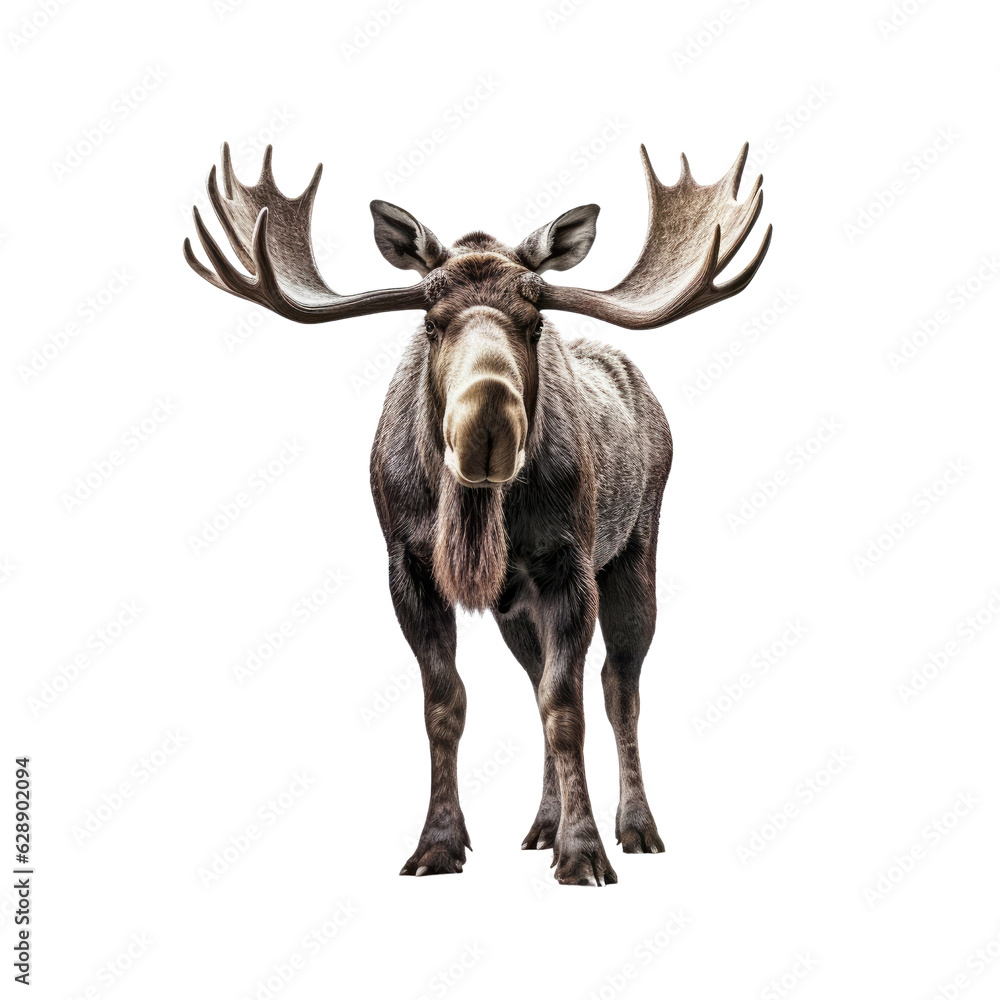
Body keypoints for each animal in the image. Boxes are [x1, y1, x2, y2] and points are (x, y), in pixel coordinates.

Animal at [184, 141, 771, 885]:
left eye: (535, 321)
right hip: (513, 608)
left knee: (619, 686)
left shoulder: (570, 568)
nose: (486, 427)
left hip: (637, 551)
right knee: (538, 679)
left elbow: (566, 709)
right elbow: (448, 705)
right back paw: (542, 826)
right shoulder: (407, 568)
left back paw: (636, 828)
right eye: (431, 323)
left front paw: (585, 854)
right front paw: (439, 843)